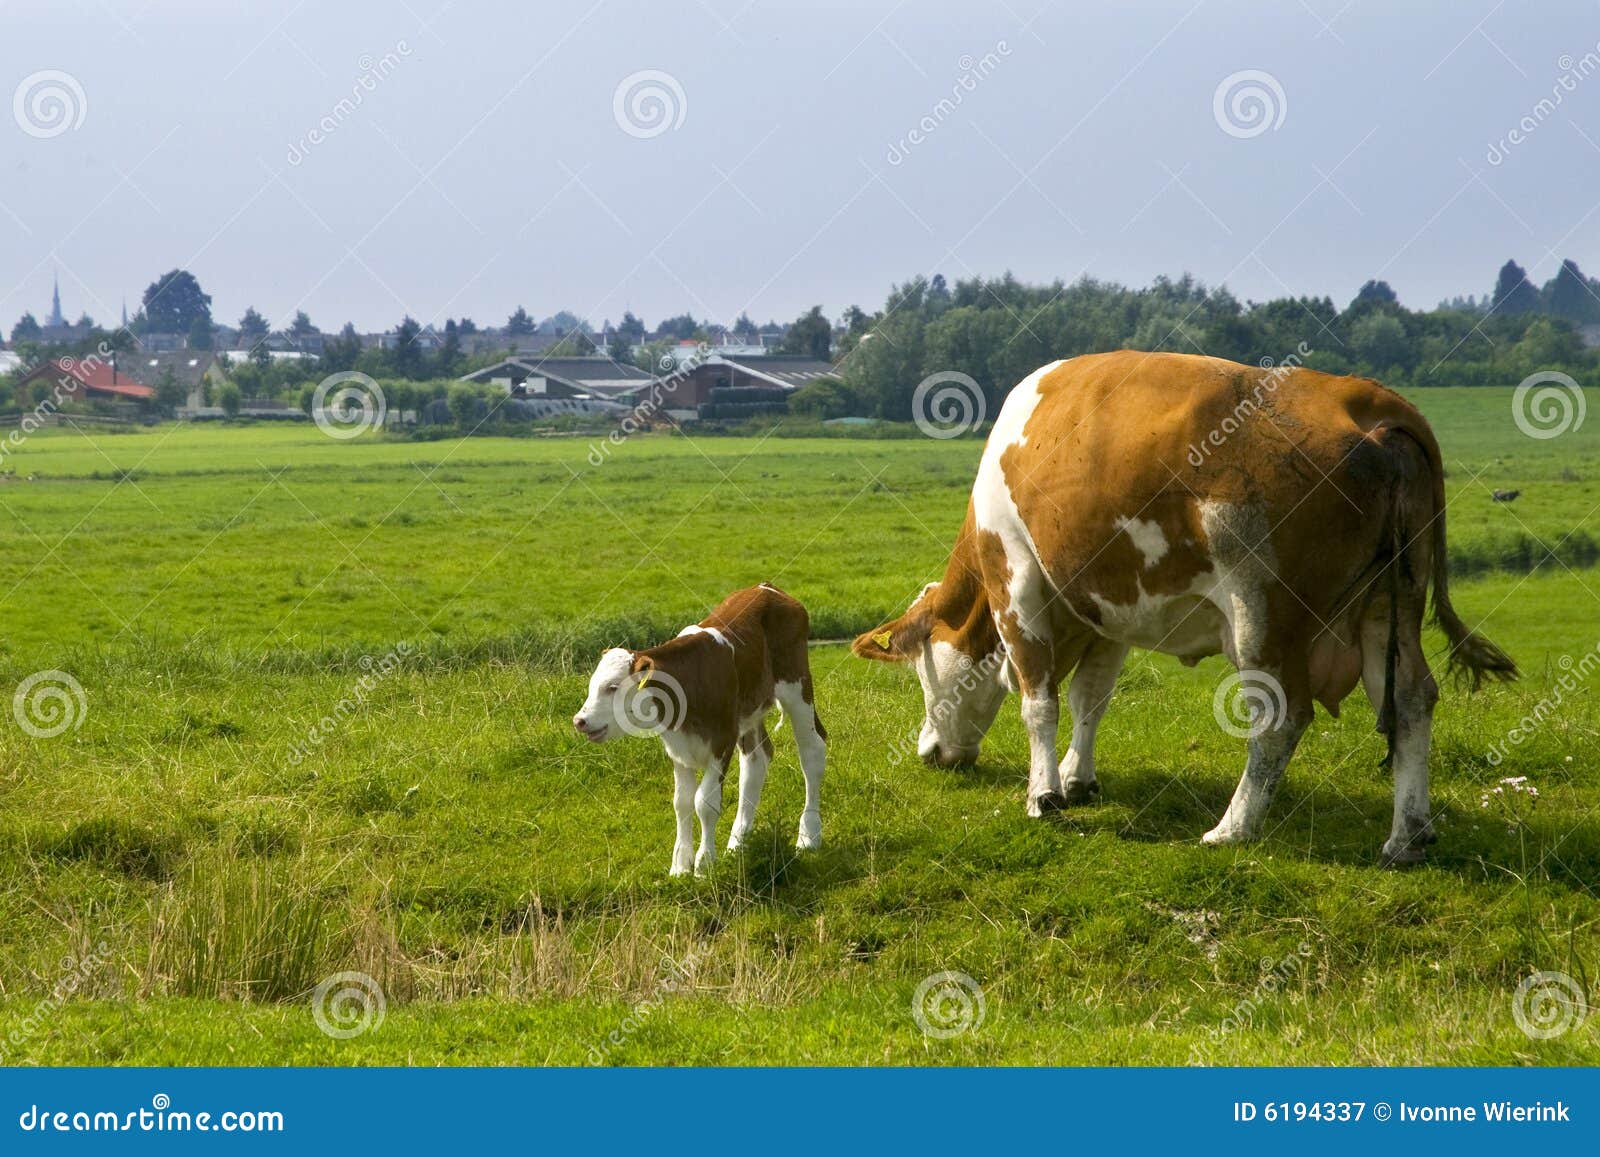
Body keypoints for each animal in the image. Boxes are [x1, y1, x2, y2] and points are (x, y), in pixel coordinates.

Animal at [573, 583, 827, 876]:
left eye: (613, 686)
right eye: (592, 685)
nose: (580, 720)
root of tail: (767, 588)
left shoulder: (722, 740)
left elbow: (704, 801)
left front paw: (705, 865)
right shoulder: (678, 747)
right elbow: (681, 802)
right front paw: (680, 866)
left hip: (797, 687)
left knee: (812, 752)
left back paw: (809, 836)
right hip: (750, 712)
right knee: (756, 760)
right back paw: (738, 844)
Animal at [853, 351, 1515, 866]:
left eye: (922, 672)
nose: (929, 753)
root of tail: (1372, 406)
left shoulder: (1015, 578)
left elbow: (1039, 702)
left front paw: (1043, 795)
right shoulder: (1108, 604)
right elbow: (1091, 698)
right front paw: (1078, 777)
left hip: (1262, 612)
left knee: (1282, 718)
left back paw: (1234, 828)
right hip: (1388, 605)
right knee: (1410, 699)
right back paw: (1407, 836)